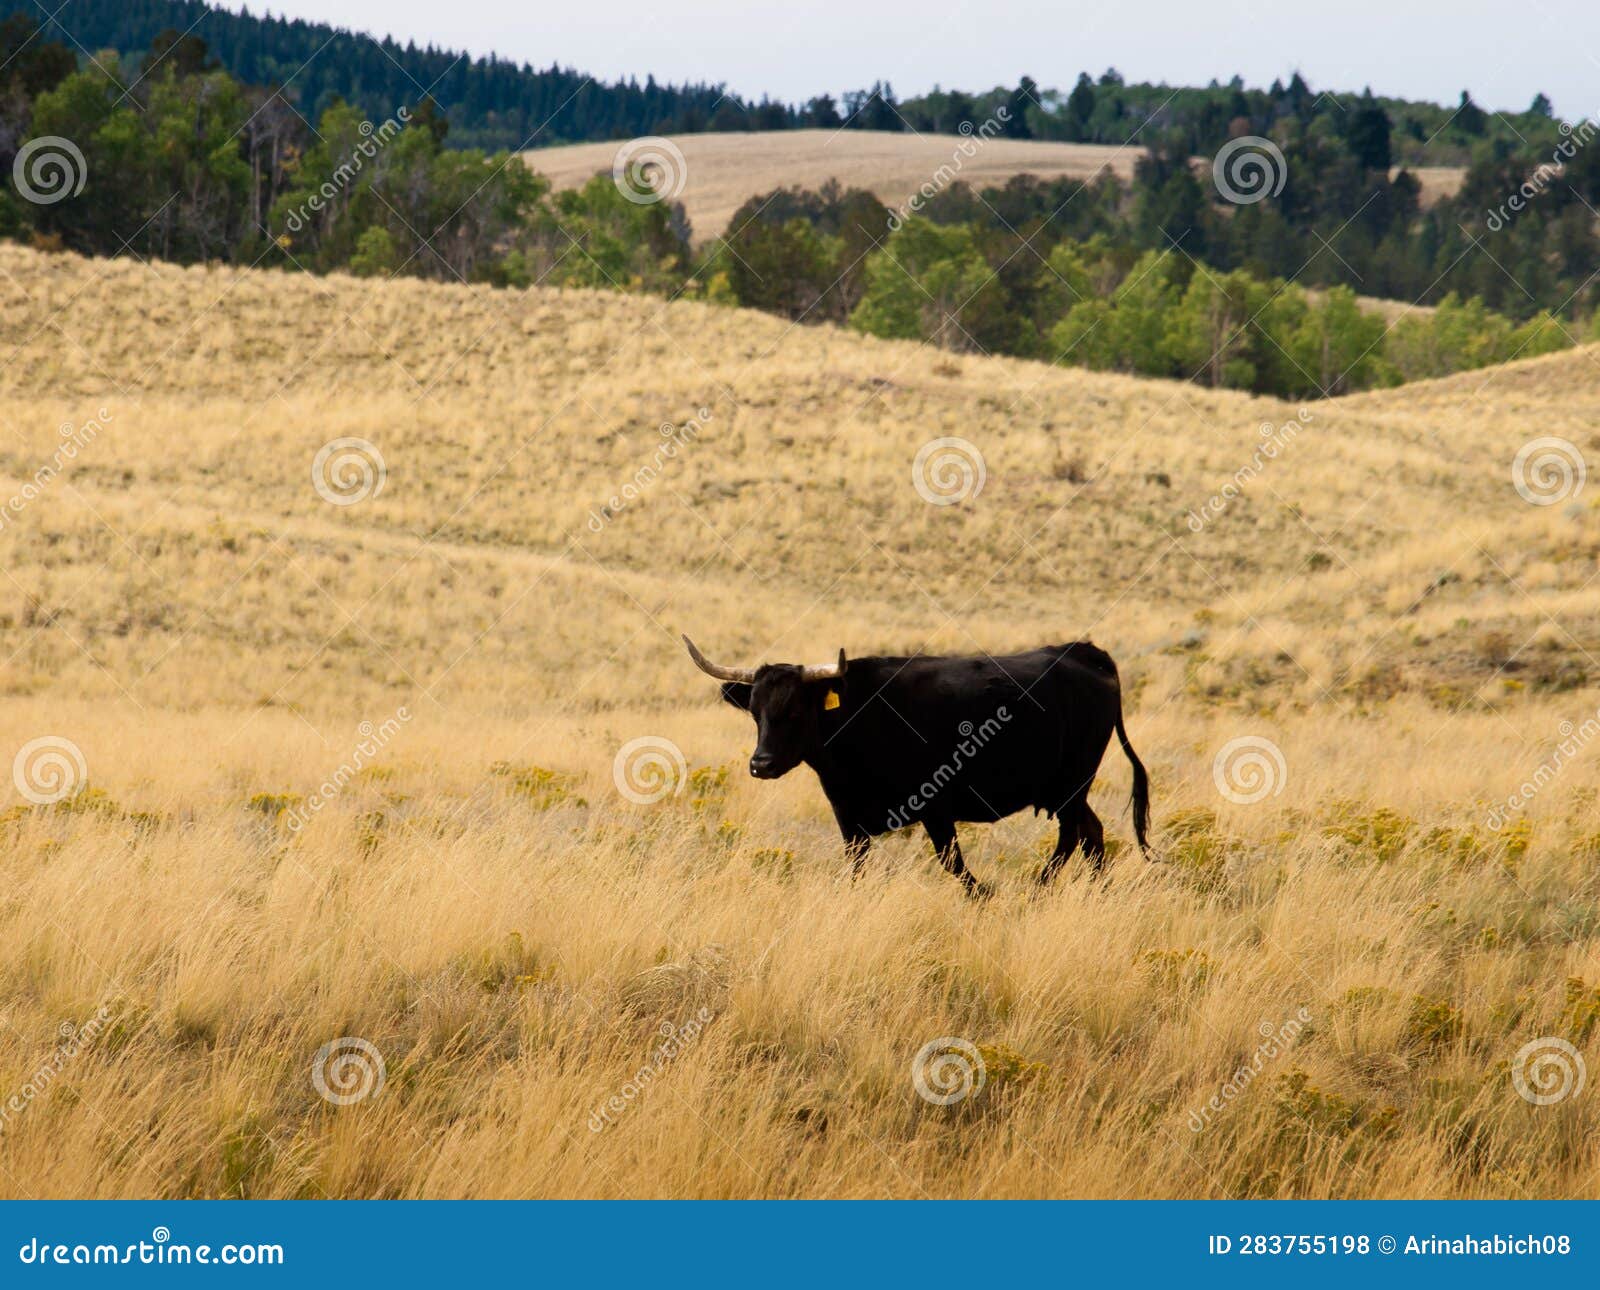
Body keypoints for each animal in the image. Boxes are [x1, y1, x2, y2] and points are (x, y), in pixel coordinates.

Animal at [683, 635, 1150, 898]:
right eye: (755, 712)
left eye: (795, 711)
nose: (760, 764)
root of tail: (1082, 653)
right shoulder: (848, 817)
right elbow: (857, 868)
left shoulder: (935, 807)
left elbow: (954, 864)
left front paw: (986, 895)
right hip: (1069, 789)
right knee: (1092, 834)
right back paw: (1099, 891)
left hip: (1072, 784)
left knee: (1072, 837)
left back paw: (1039, 889)